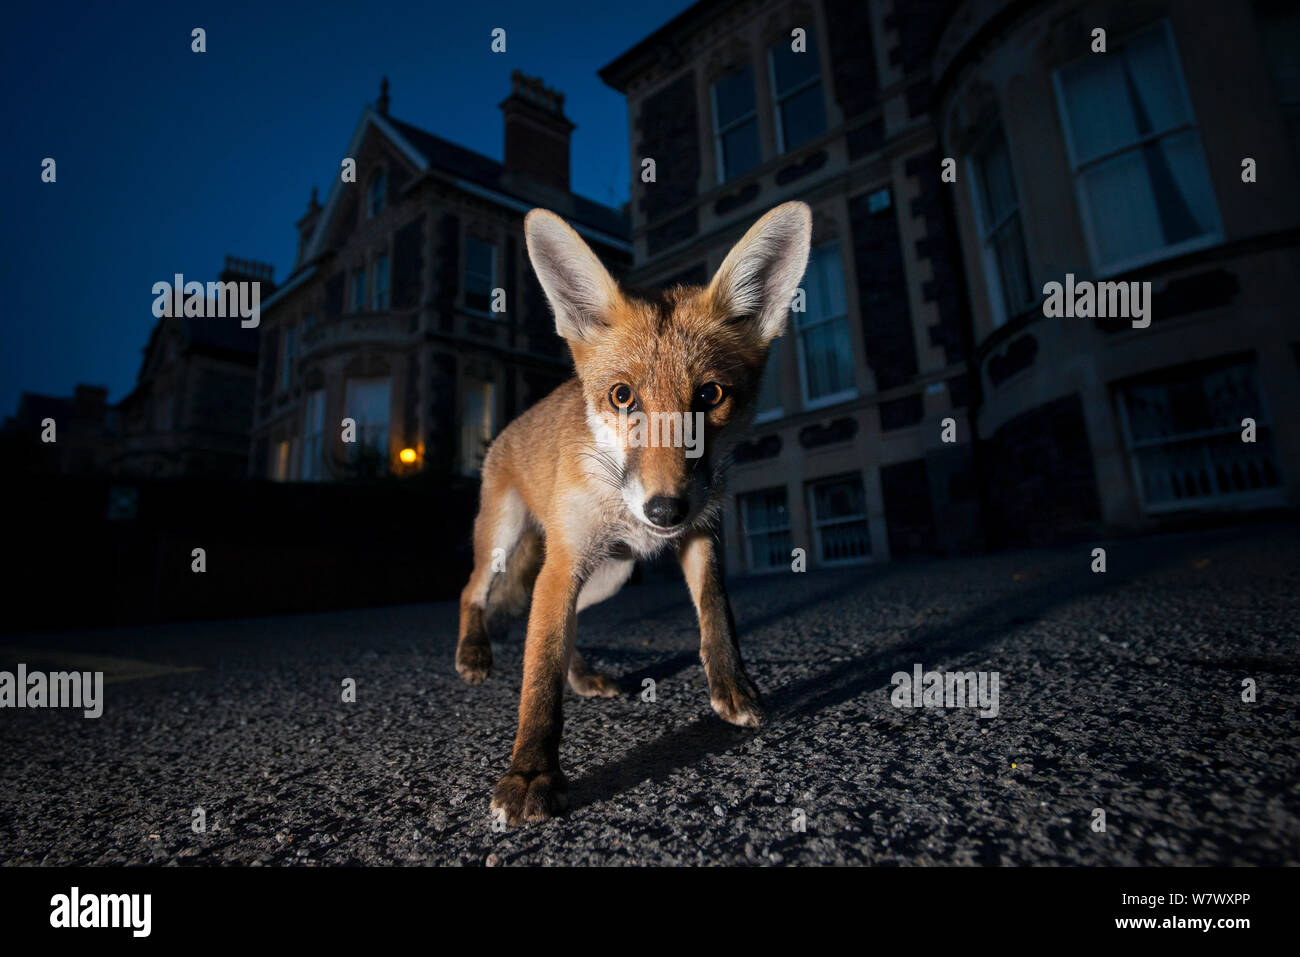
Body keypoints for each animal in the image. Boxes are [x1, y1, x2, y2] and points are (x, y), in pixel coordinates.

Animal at [456, 200, 812, 825]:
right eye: (623, 397)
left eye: (710, 396)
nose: (664, 510)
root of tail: (510, 426)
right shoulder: (564, 562)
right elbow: (538, 674)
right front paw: (531, 774)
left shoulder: (702, 530)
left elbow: (716, 612)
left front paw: (732, 686)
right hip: (504, 540)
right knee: (473, 592)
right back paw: (473, 651)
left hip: (612, 574)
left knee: (560, 625)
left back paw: (583, 674)